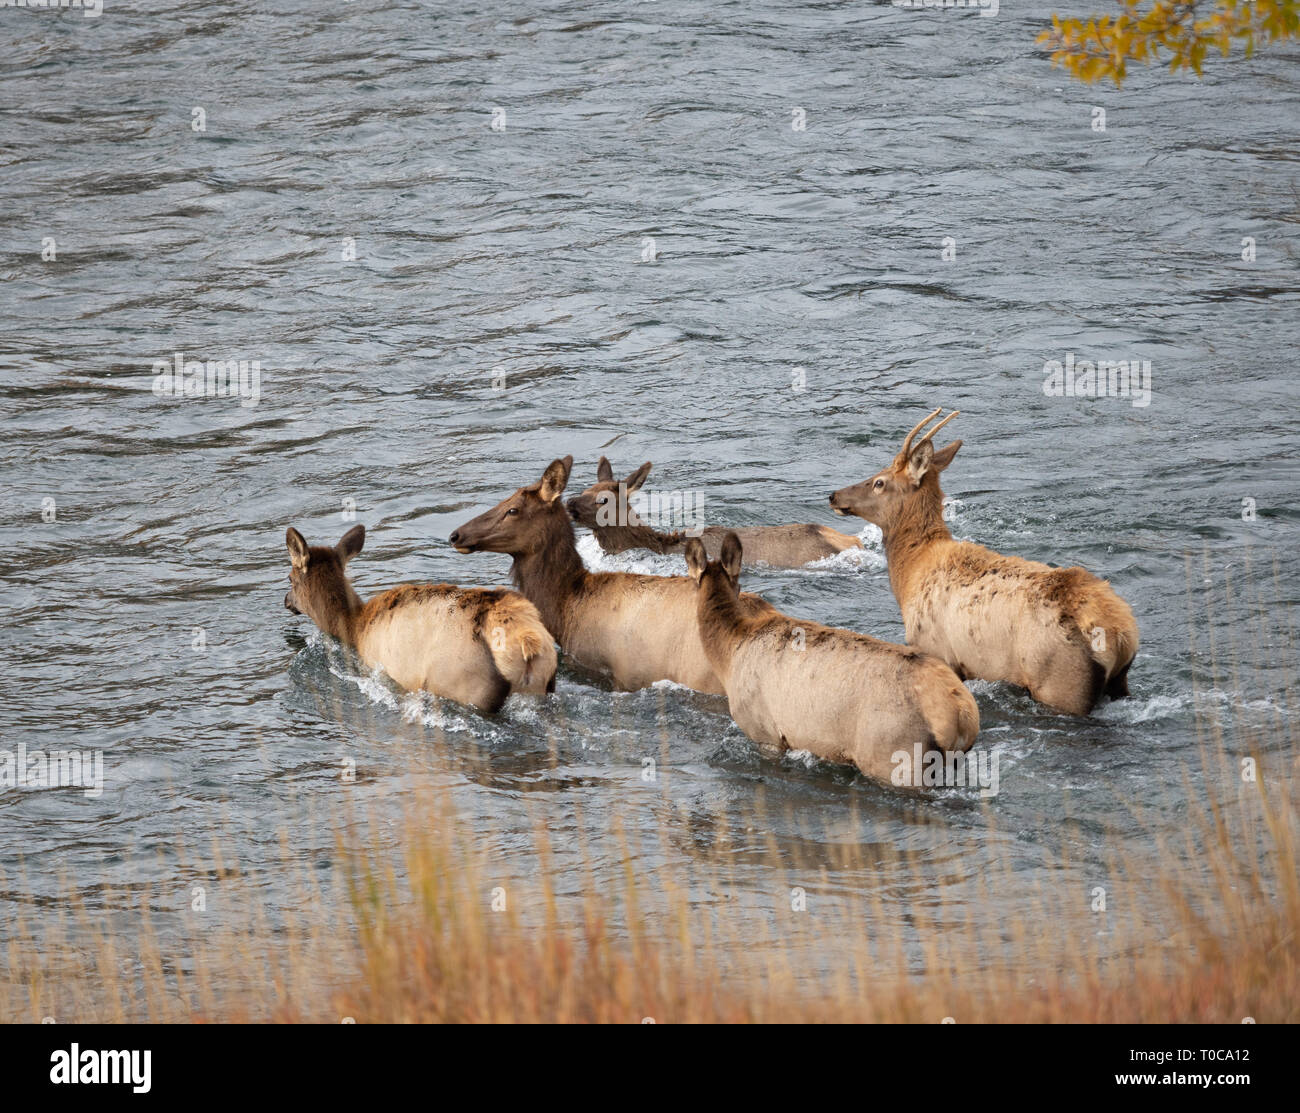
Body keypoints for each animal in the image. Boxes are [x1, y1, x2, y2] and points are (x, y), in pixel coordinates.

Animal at [283, 524, 556, 714]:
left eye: (290, 578)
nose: (286, 601)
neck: (355, 627)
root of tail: (525, 636)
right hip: (546, 682)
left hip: (464, 684)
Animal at [828, 408, 1139, 716]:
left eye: (879, 482)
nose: (833, 495)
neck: (910, 575)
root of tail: (1121, 633)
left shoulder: (937, 649)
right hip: (1119, 682)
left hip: (1062, 683)